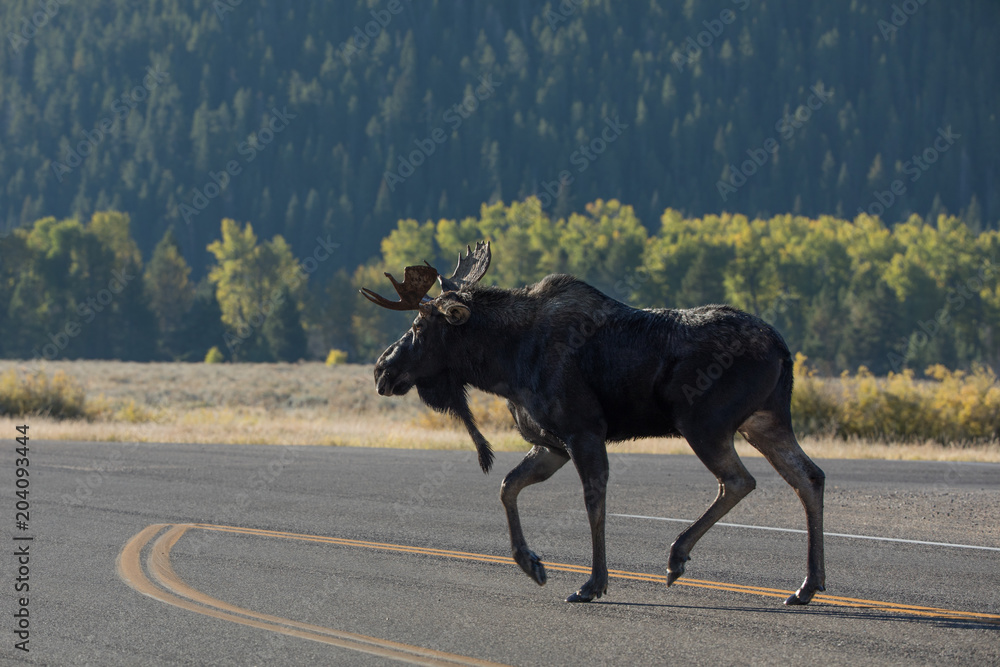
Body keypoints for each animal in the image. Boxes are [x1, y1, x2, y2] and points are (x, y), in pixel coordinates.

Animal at [362, 242, 825, 605]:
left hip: (705, 423)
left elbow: (593, 501)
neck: (503, 364)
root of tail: (783, 349)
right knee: (808, 476)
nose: (382, 370)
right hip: (765, 421)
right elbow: (508, 486)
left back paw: (677, 557)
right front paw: (532, 564)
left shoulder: (582, 430)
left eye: (419, 325)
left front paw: (593, 583)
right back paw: (807, 585)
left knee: (739, 480)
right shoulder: (551, 443)